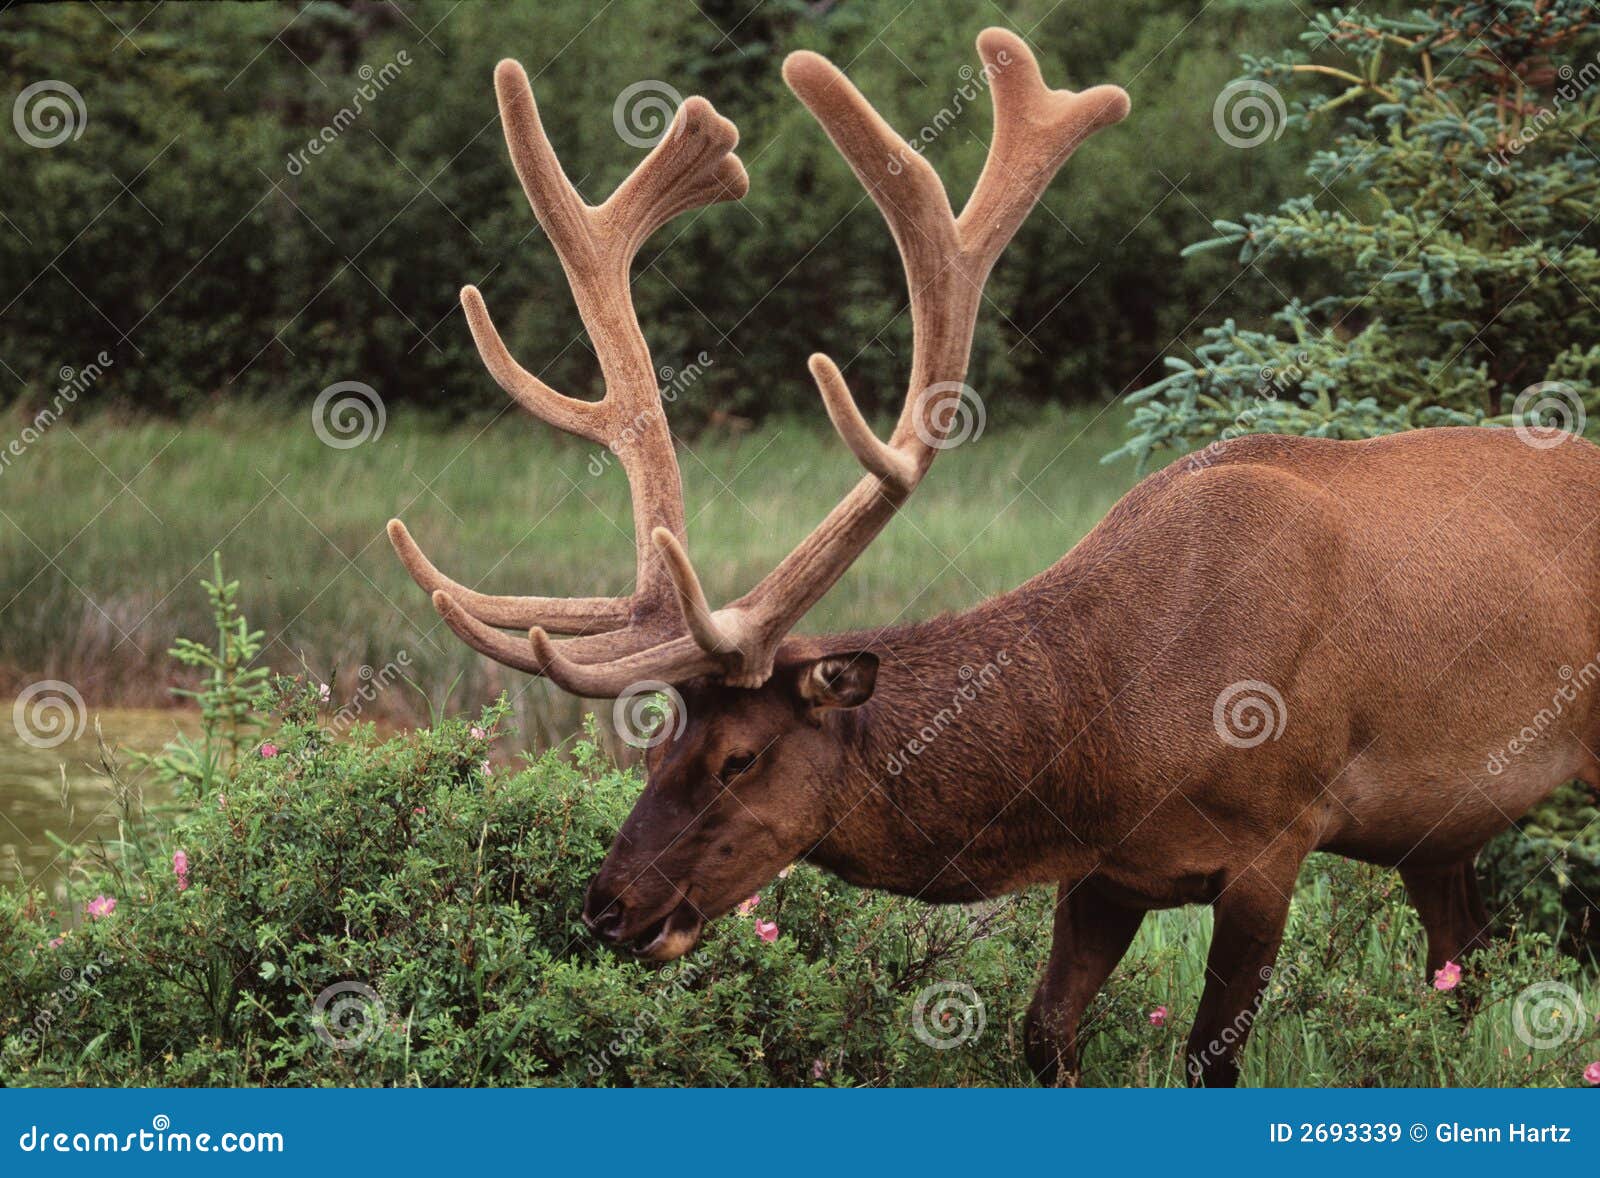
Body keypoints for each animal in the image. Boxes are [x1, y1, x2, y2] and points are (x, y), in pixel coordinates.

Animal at [387, 29, 1600, 1086]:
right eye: (652, 745)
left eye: (739, 757)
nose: (609, 904)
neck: (1117, 731)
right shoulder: (1106, 873)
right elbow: (1040, 1035)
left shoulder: (1276, 836)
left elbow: (1210, 1061)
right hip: (1437, 832)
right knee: (1464, 961)